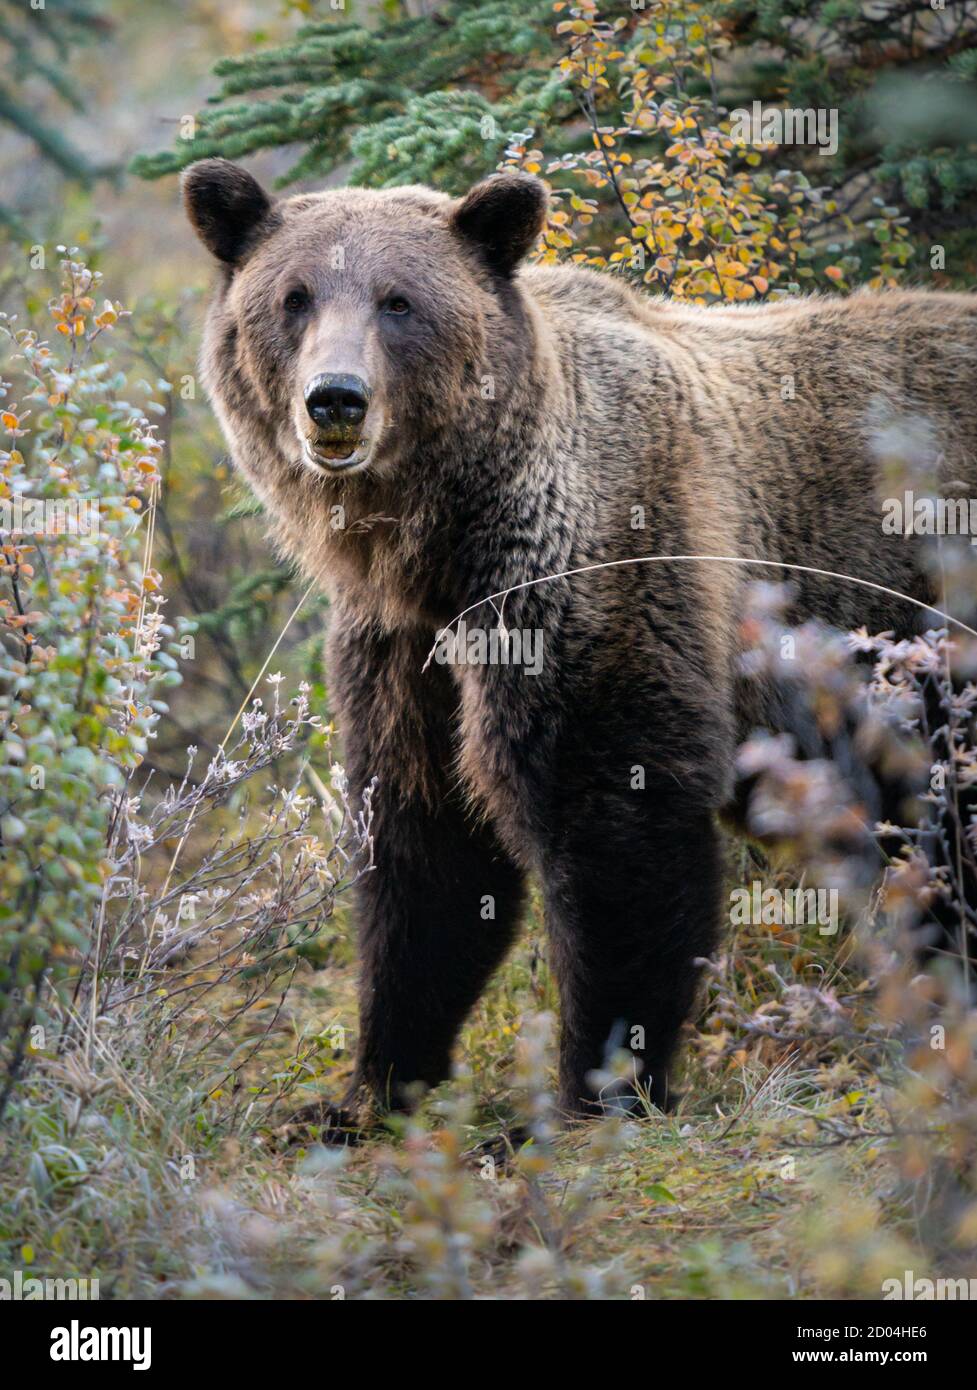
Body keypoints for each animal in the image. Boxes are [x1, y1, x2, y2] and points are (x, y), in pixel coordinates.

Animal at [182, 157, 977, 1127]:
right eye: (293, 297)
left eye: (398, 301)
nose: (335, 398)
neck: (435, 542)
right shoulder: (406, 650)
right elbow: (424, 849)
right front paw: (368, 1090)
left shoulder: (595, 571)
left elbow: (614, 820)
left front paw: (591, 1095)